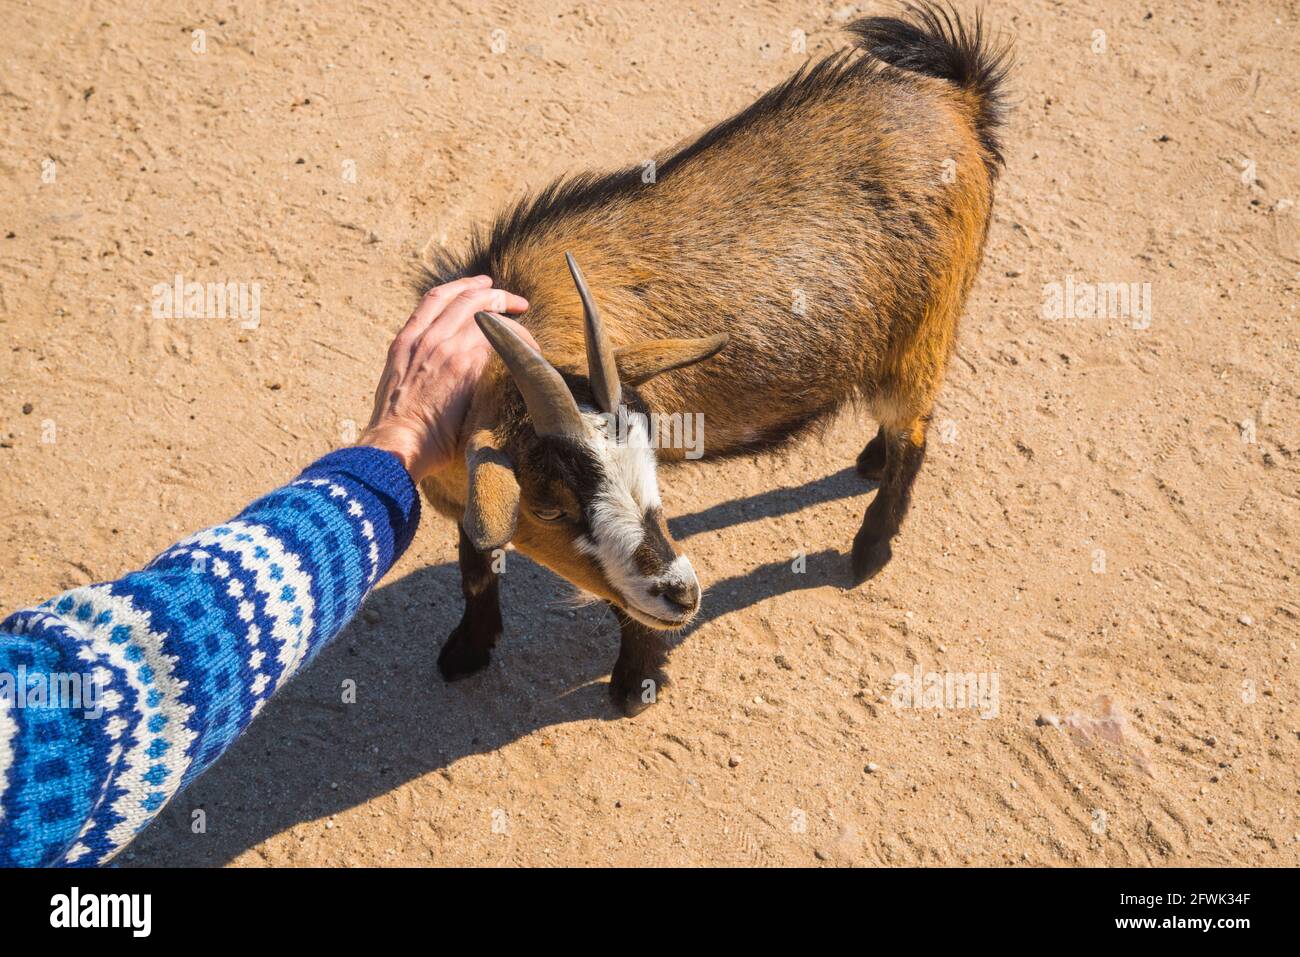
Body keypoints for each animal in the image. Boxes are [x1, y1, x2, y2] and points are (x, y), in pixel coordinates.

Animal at [417, 3, 1011, 715]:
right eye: (550, 507)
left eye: (648, 463)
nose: (684, 594)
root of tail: (958, 100)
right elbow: (475, 560)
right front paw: (467, 649)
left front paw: (635, 682)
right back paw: (869, 459)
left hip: (926, 327)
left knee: (914, 433)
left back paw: (870, 550)